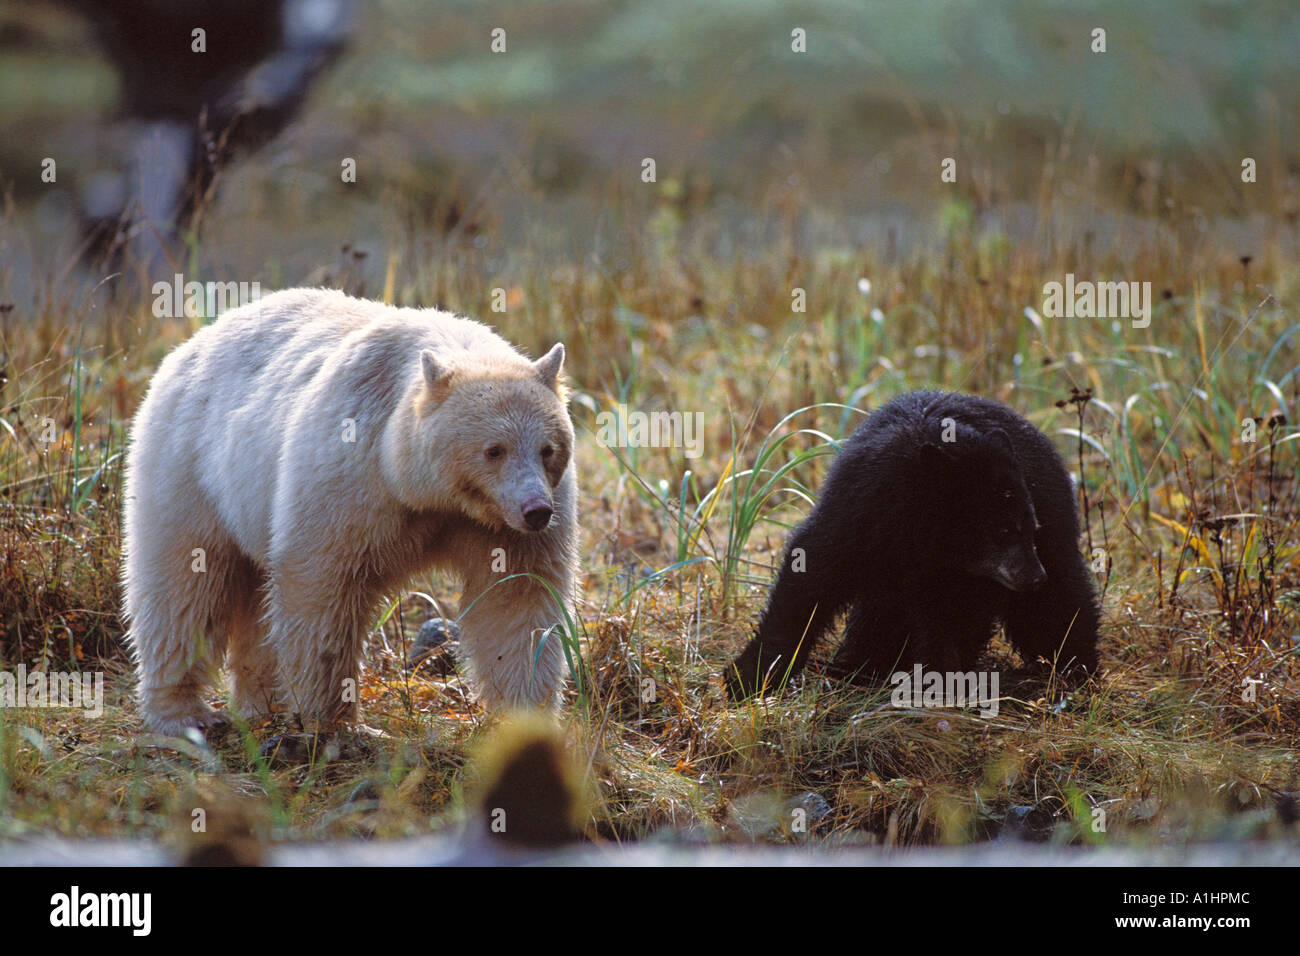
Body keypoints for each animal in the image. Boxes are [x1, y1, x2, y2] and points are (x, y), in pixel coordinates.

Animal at [122, 287, 578, 735]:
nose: (536, 511)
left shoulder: (499, 528)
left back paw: (262, 704)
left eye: (548, 449)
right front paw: (333, 720)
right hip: (189, 469)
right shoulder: (354, 468)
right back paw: (183, 712)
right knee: (184, 587)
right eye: (494, 450)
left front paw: (526, 715)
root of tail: (192, 342)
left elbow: (516, 600)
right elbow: (322, 581)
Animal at [726, 390, 1099, 699]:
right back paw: (862, 664)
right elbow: (808, 581)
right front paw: (748, 677)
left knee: (1060, 599)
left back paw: (1074, 667)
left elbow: (958, 616)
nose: (1035, 577)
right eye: (1002, 530)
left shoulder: (970, 573)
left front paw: (943, 681)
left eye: (1029, 527)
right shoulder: (855, 516)